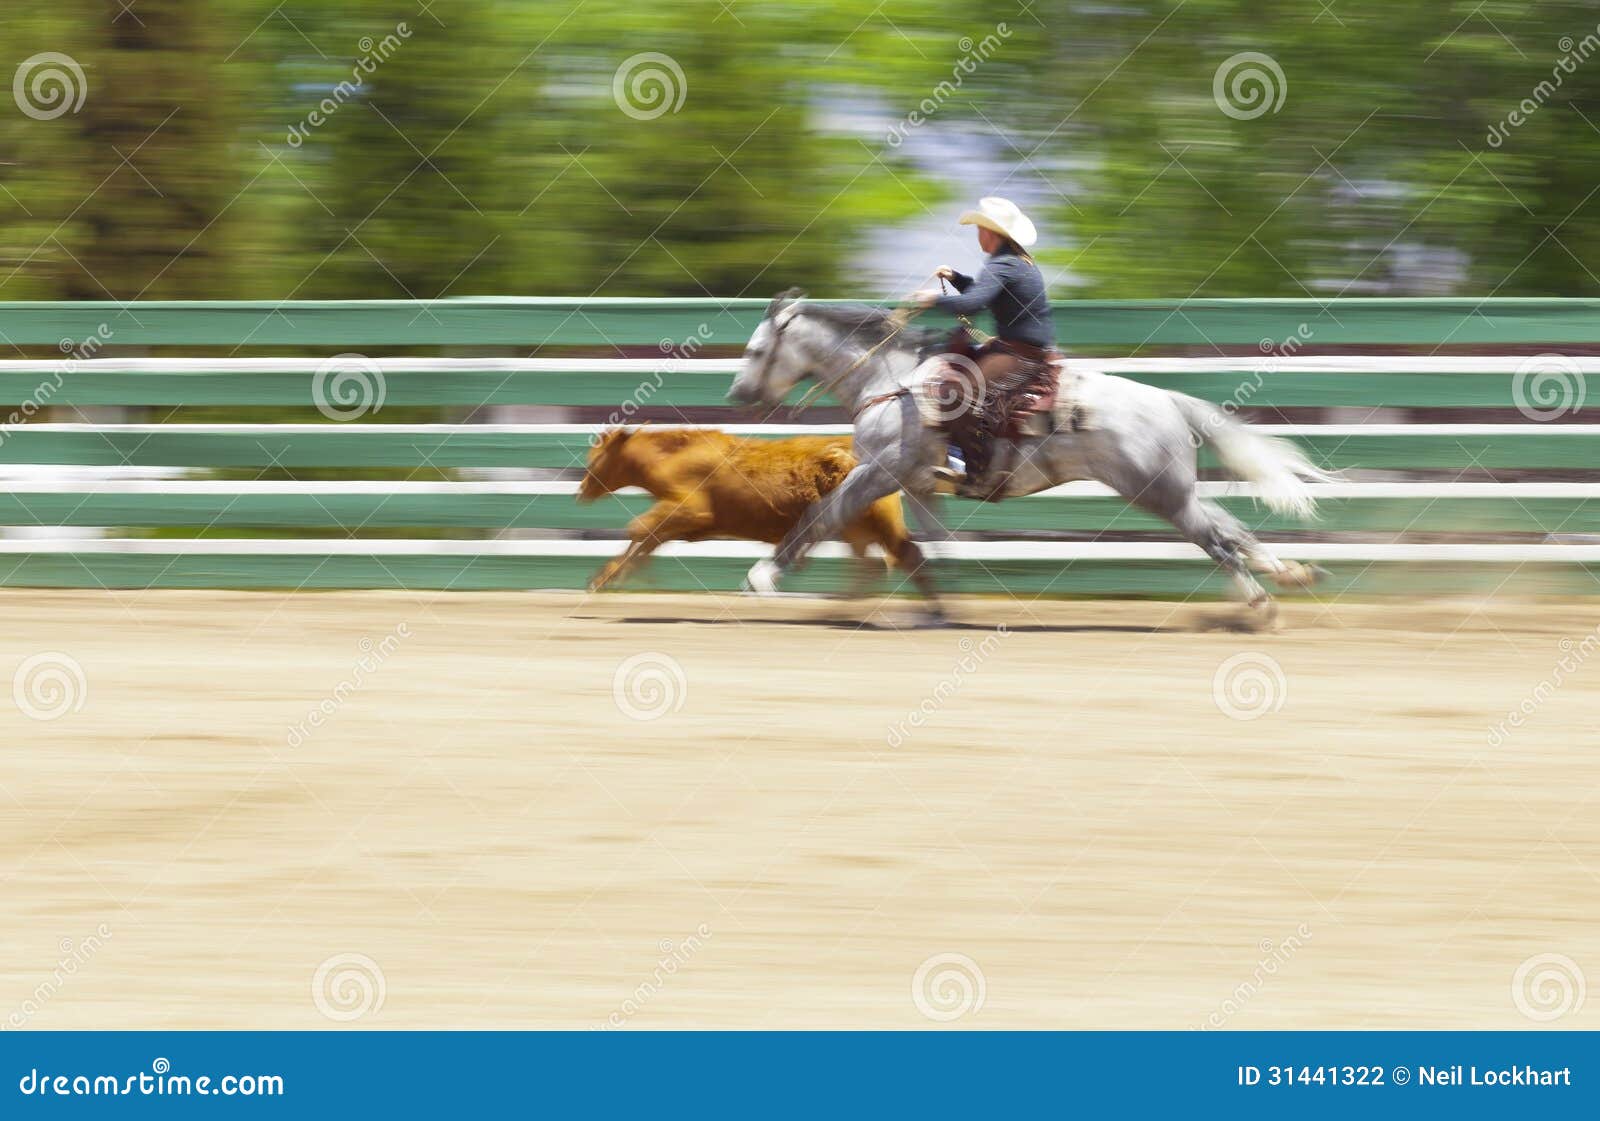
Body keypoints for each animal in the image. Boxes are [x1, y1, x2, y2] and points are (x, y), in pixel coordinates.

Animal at [578, 426, 936, 598]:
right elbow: (647, 541)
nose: (581, 490)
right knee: (874, 565)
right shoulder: (679, 522)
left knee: (905, 557)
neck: (675, 456)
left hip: (879, 521)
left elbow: (638, 530)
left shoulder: (690, 509)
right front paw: (605, 578)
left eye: (597, 459)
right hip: (855, 529)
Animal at [724, 290, 1333, 625]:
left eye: (755, 350)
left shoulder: (878, 473)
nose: (738, 393)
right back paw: (1290, 574)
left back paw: (1262, 604)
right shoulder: (917, 485)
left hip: (1159, 494)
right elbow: (925, 550)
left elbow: (822, 515)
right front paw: (938, 611)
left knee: (1216, 540)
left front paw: (763, 577)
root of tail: (1167, 400)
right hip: (1172, 491)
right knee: (1231, 528)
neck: (890, 382)